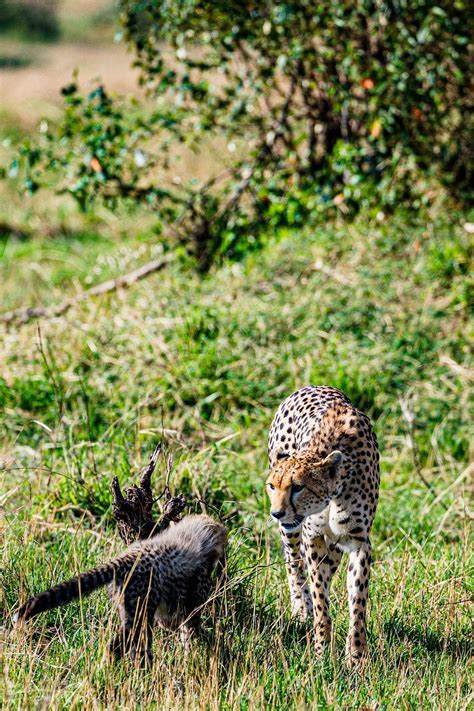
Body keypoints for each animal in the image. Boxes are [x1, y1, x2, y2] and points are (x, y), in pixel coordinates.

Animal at [14, 514, 227, 666]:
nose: (223, 559)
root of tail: (125, 559)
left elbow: (177, 623)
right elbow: (190, 625)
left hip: (128, 608)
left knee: (120, 646)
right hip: (140, 614)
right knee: (125, 646)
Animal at [266, 385, 380, 665]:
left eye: (298, 487)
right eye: (272, 486)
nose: (276, 513)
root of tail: (310, 386)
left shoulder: (358, 541)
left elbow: (358, 599)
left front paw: (356, 655)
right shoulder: (313, 537)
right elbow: (319, 597)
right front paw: (321, 650)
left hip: (336, 543)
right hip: (293, 533)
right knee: (293, 562)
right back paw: (300, 609)